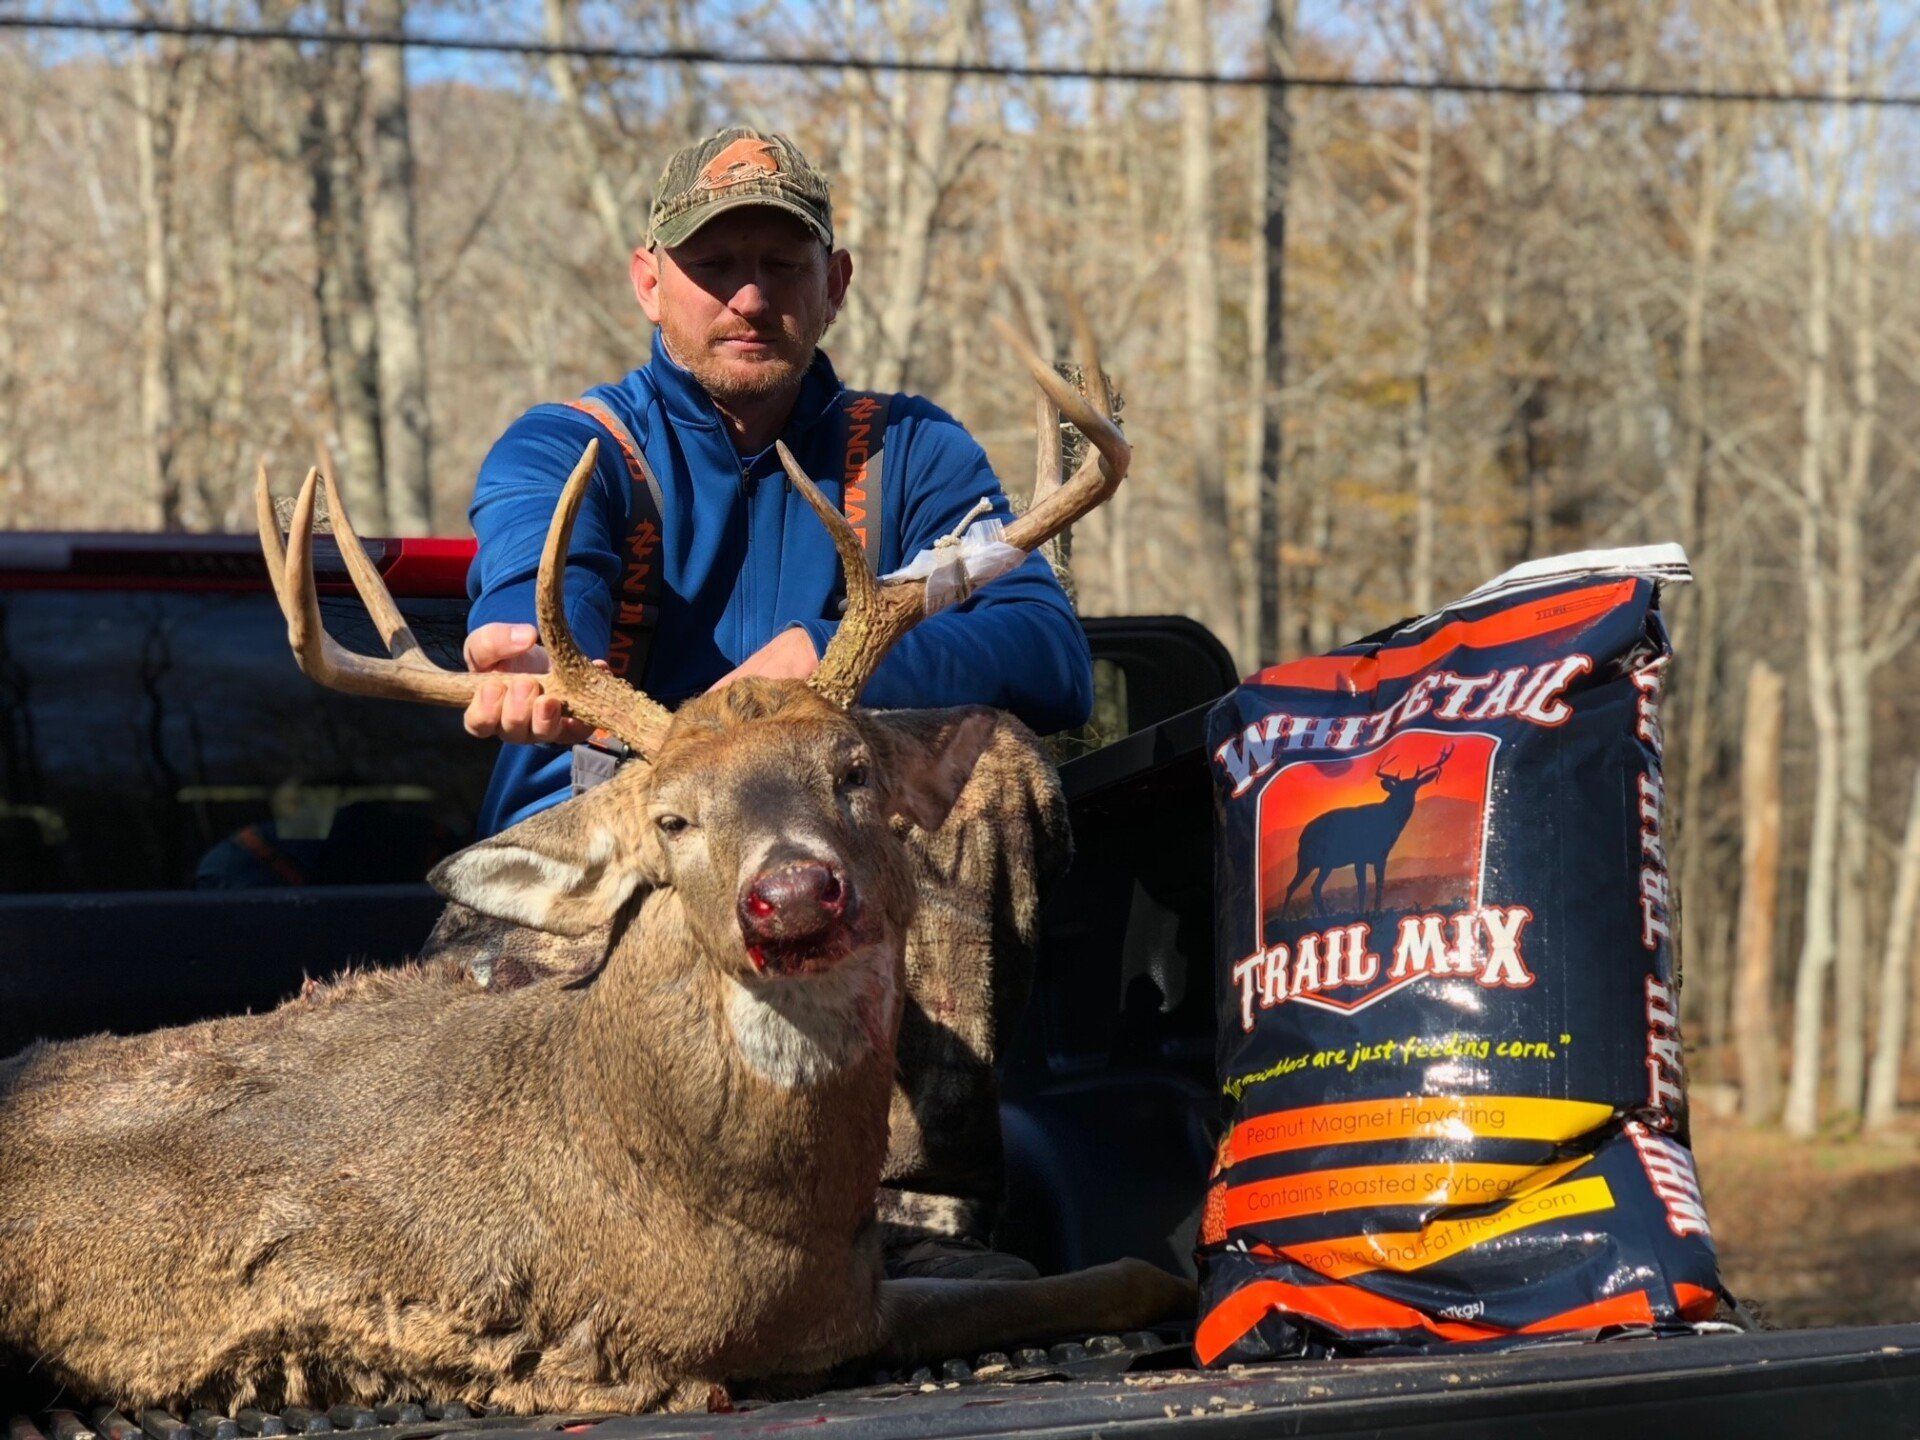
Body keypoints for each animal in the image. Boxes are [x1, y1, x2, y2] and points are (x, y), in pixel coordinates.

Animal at [1279, 745, 1454, 918]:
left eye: (1414, 788)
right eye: (1397, 789)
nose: (1405, 802)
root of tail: (1301, 836)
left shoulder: (1381, 856)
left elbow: (1379, 884)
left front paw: (1376, 913)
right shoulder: (1360, 856)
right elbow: (1362, 887)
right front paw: (1361, 915)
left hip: (1324, 864)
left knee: (1313, 887)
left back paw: (1323, 916)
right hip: (1307, 859)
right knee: (1294, 886)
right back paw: (1284, 918)